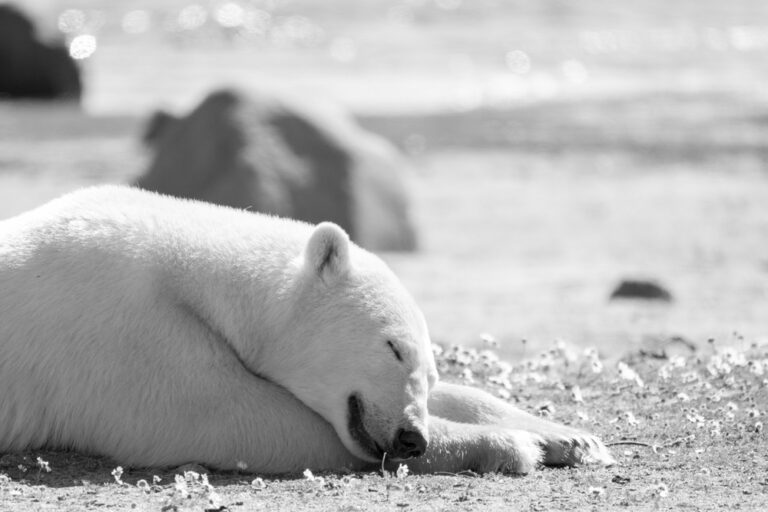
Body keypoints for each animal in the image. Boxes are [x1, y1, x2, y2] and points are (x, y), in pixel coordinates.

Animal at [0, 186, 613, 474]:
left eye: (430, 370)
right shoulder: (126, 331)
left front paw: (573, 438)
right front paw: (515, 444)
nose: (411, 436)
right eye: (392, 347)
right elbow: (238, 416)